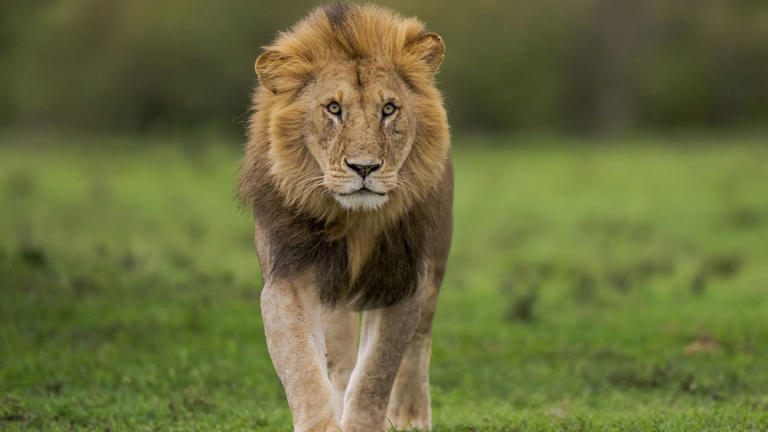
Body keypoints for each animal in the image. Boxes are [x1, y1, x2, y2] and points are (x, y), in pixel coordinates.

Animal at [238, 4, 452, 431]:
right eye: (333, 109)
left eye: (389, 109)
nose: (364, 167)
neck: (355, 223)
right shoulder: (287, 278)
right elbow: (304, 371)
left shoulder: (403, 279)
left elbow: (375, 375)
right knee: (338, 363)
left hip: (436, 261)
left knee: (419, 341)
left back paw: (410, 414)